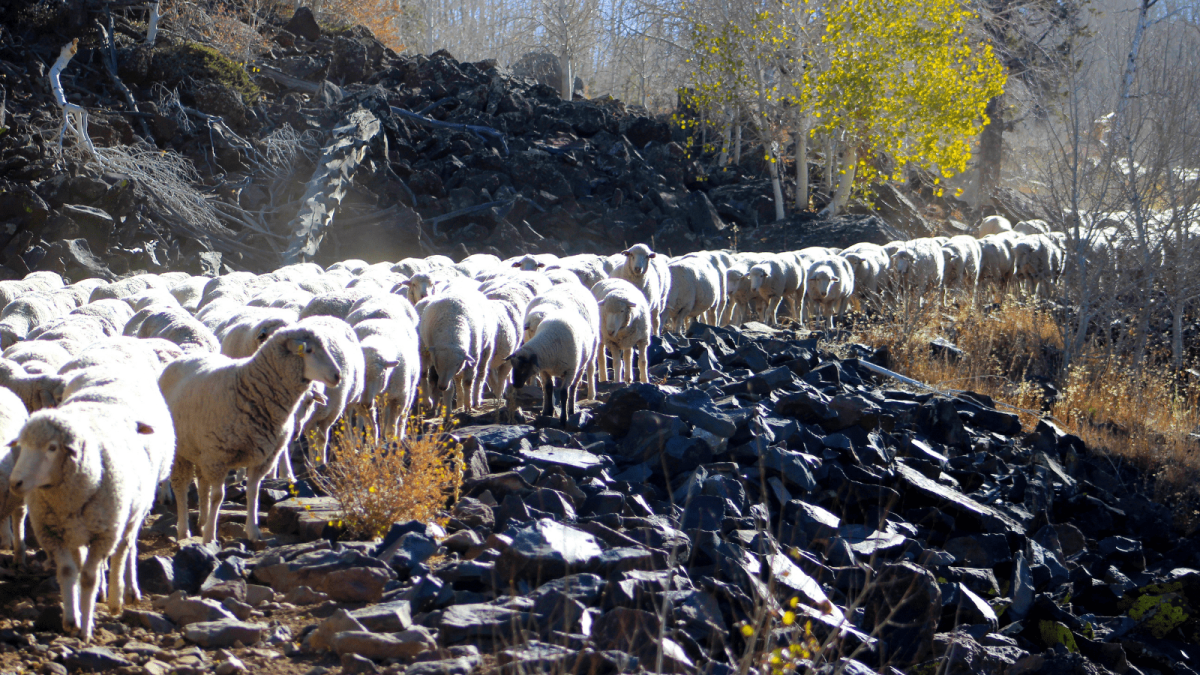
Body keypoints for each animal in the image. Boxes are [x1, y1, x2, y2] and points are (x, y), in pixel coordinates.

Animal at [159, 325, 342, 542]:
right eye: (309, 350)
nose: (338, 376)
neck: (249, 387)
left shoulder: (262, 457)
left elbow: (253, 491)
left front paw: (253, 531)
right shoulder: (219, 456)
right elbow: (218, 496)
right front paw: (211, 537)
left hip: (200, 450)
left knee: (202, 485)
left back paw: (202, 522)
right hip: (180, 450)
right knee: (181, 487)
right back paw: (184, 530)